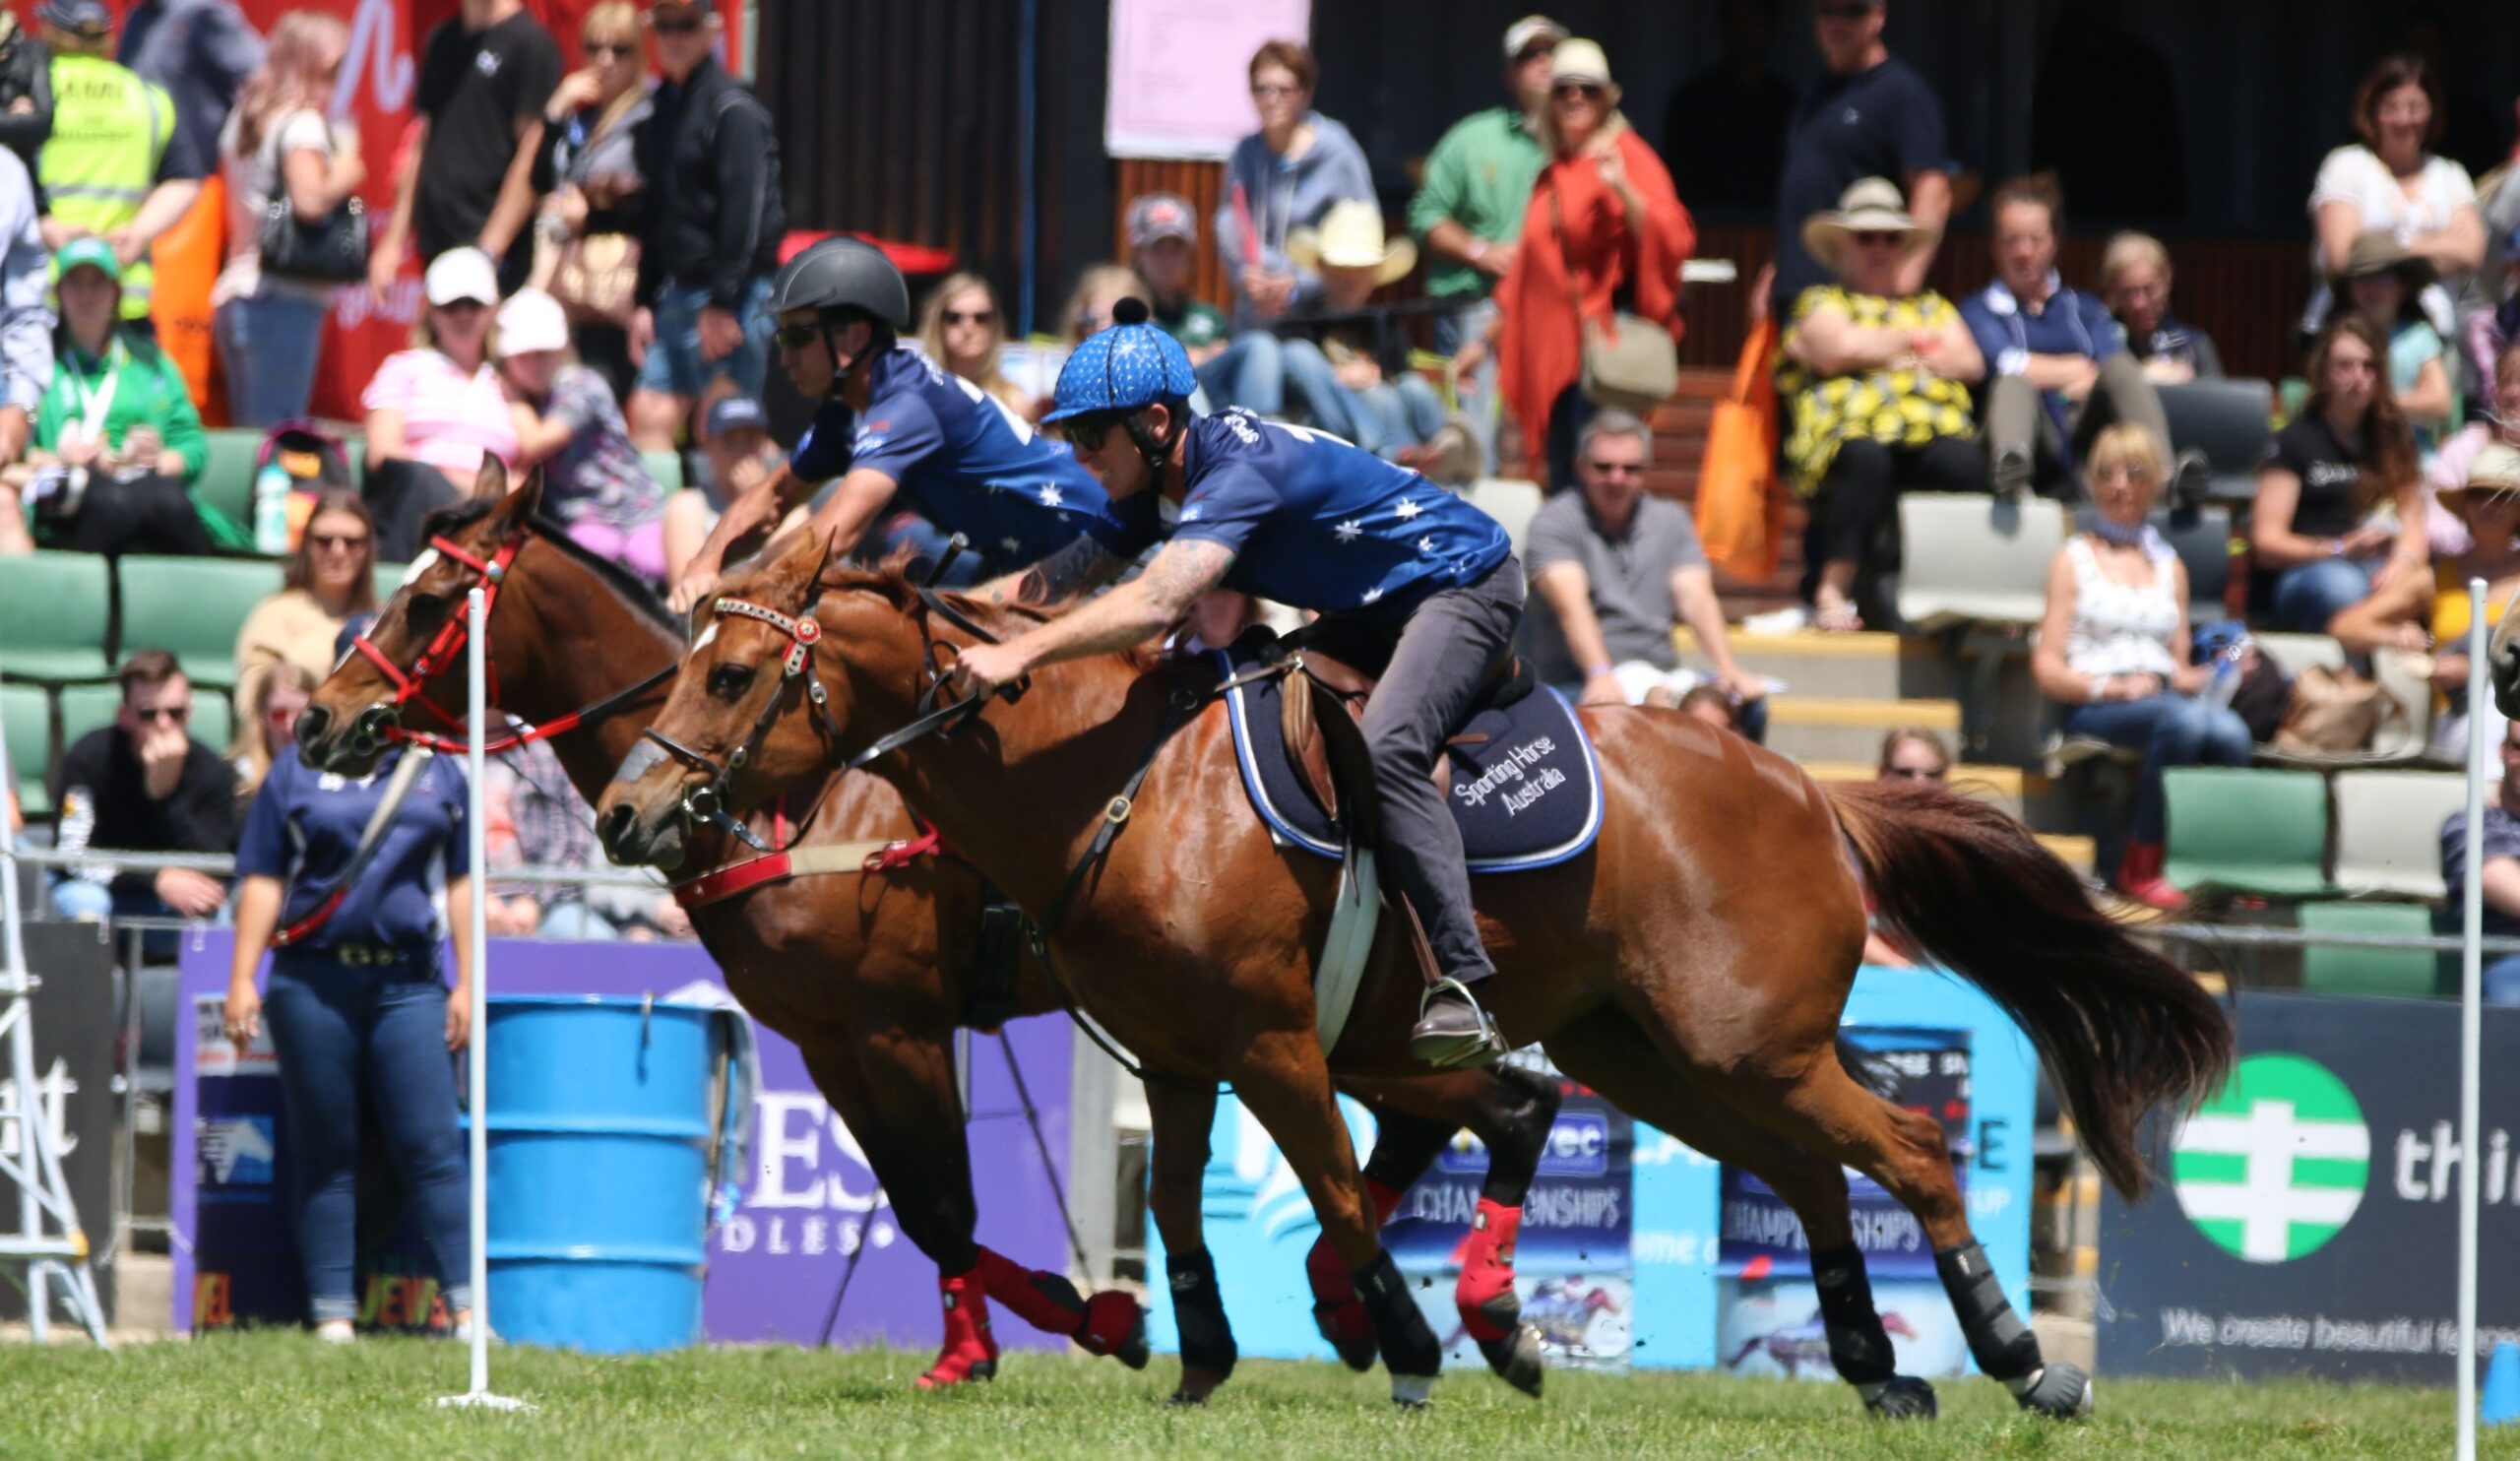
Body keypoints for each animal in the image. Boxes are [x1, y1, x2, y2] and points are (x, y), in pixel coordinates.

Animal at [291, 468, 1567, 1402]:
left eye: (426, 600)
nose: (315, 718)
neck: (812, 802)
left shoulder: (893, 1022)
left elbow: (945, 1201)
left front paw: (1071, 1320)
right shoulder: (820, 1040)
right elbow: (915, 1203)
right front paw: (1035, 1328)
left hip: (1299, 1017)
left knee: (1464, 1109)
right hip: (1322, 1021)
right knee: (1469, 1109)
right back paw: (1396, 1307)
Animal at [596, 533, 2234, 1414]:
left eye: (730, 674)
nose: (623, 812)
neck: (1111, 780)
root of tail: (1816, 793)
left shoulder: (1267, 1042)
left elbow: (1327, 1185)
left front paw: (1397, 1341)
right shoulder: (1176, 1056)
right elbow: (1178, 1205)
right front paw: (1197, 1356)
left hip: (1743, 1043)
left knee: (1905, 1149)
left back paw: (2018, 1357)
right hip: (1666, 1056)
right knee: (1815, 1170)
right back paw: (1872, 1360)